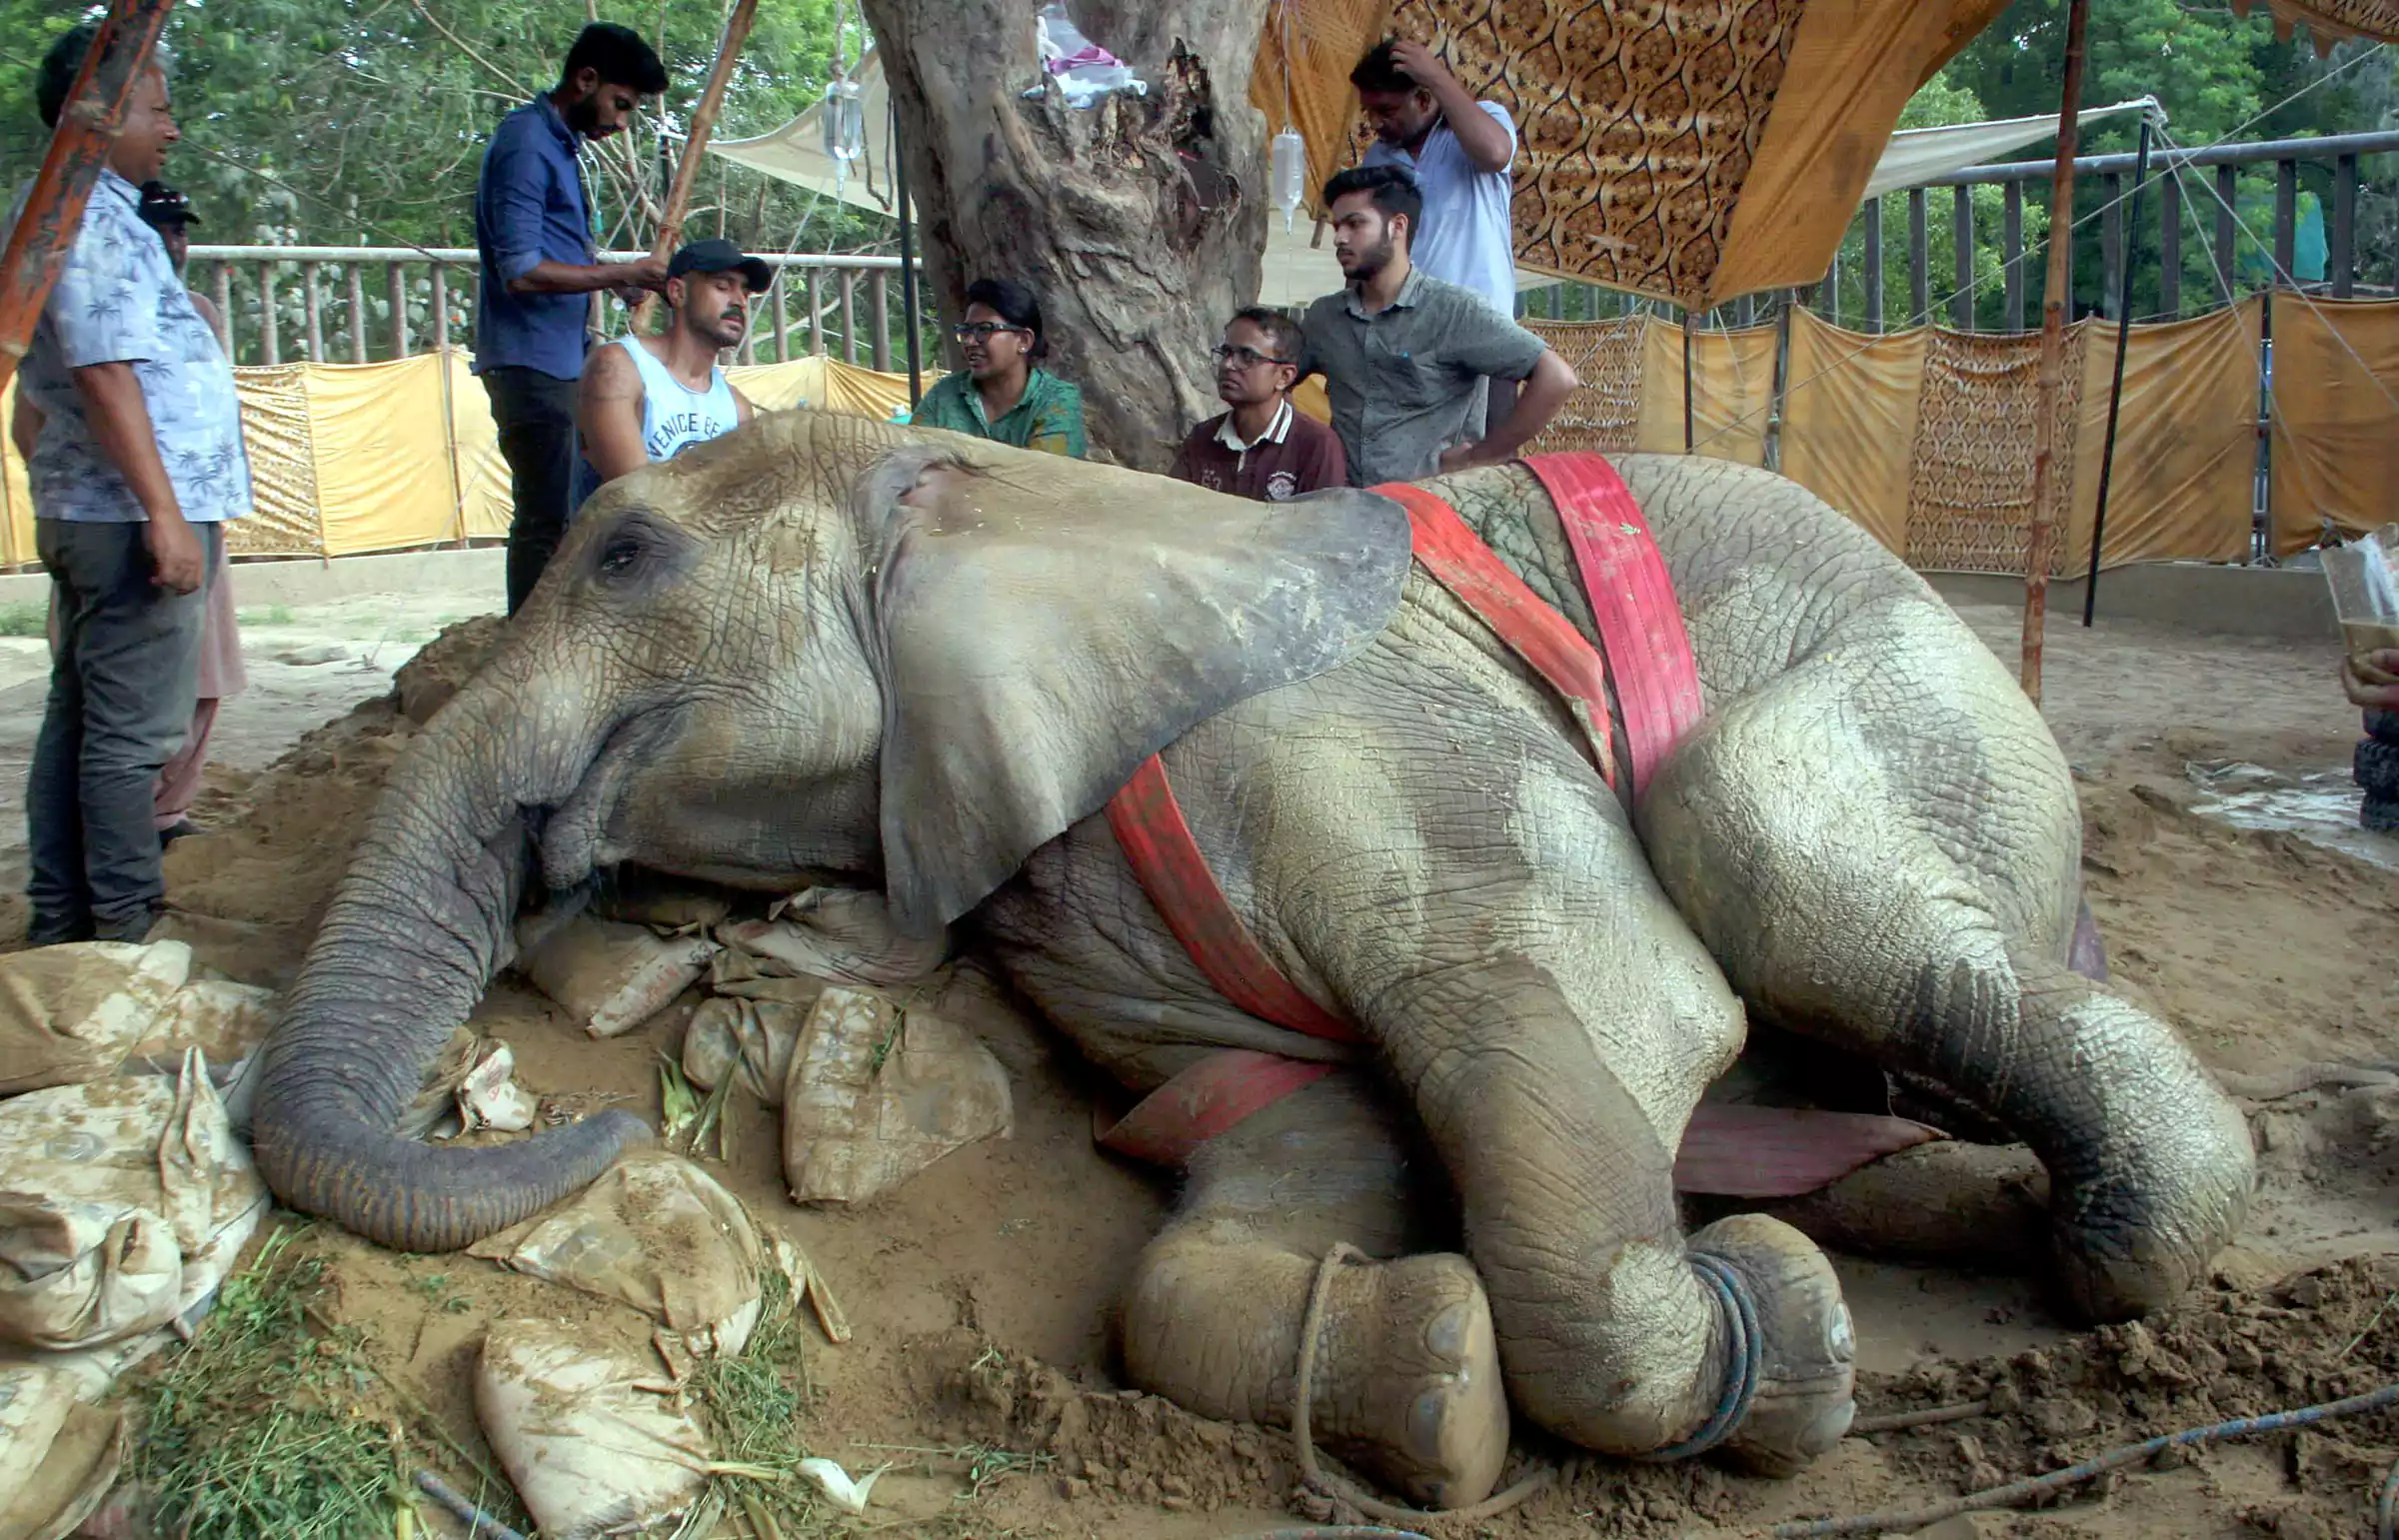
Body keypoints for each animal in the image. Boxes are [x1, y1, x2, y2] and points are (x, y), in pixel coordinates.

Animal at [247, 413, 2256, 1510]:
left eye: (628, 553)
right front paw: (1437, 1387)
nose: (587, 1106)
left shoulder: (1340, 732)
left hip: (1910, 695)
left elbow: (1610, 997)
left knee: (1764, 849)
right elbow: (1264, 1169)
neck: (990, 485)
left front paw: (1778, 1333)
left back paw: (2112, 1243)